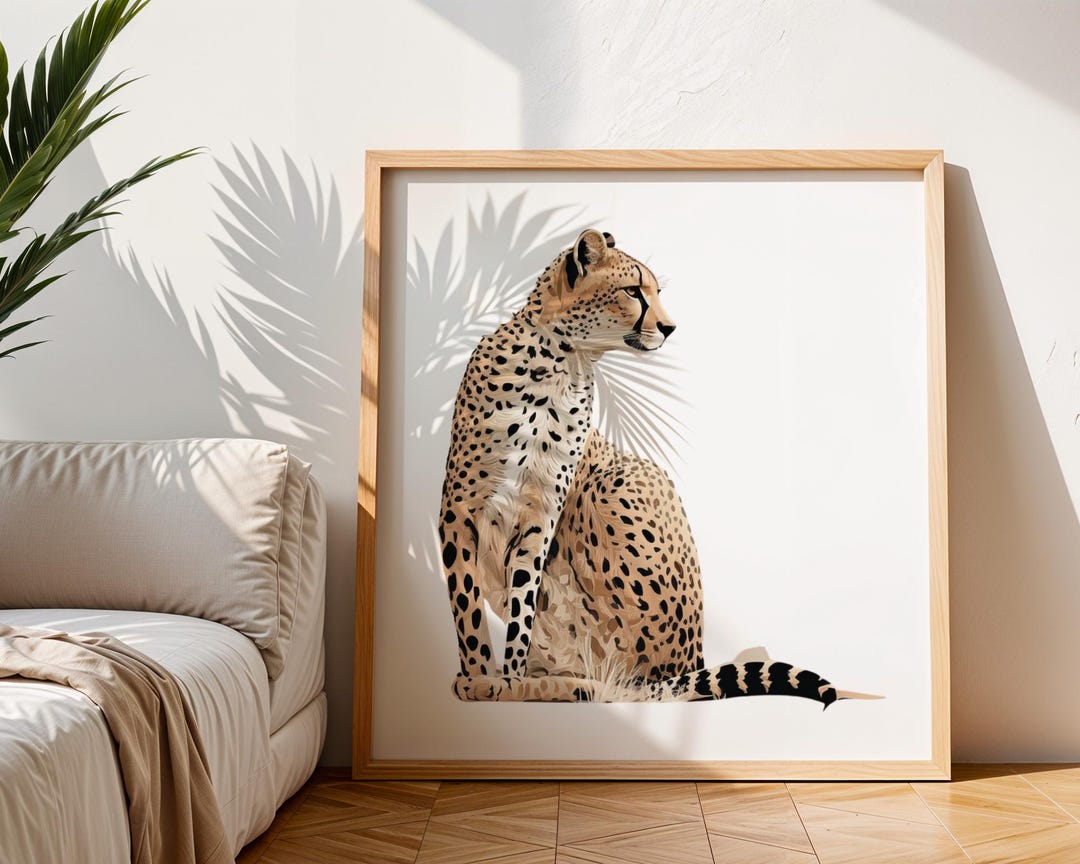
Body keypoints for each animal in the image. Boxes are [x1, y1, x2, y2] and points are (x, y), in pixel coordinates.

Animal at [438, 228, 869, 706]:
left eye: (657, 292)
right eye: (632, 291)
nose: (669, 327)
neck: (561, 363)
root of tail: (687, 661)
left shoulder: (540, 517)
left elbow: (521, 603)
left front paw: (504, 681)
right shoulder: (459, 510)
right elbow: (468, 601)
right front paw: (483, 676)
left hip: (619, 482)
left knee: (614, 683)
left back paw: (558, 683)